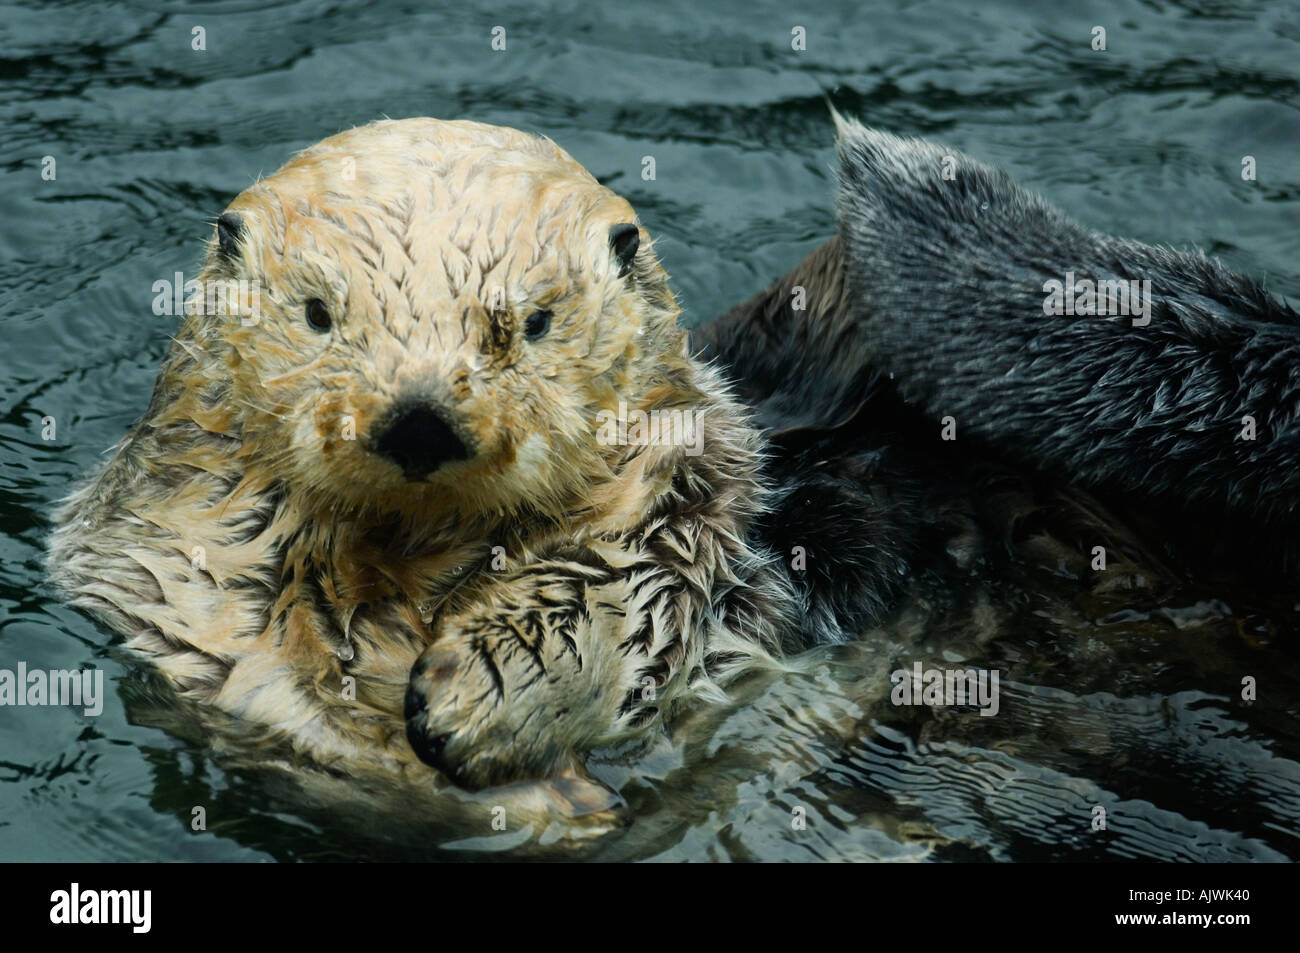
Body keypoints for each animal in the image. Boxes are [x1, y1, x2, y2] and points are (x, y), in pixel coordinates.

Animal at [49, 115, 1299, 797]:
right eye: (317, 314)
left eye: (533, 320)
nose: (418, 420)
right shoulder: (161, 568)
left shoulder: (696, 505)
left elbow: (635, 590)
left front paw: (480, 691)